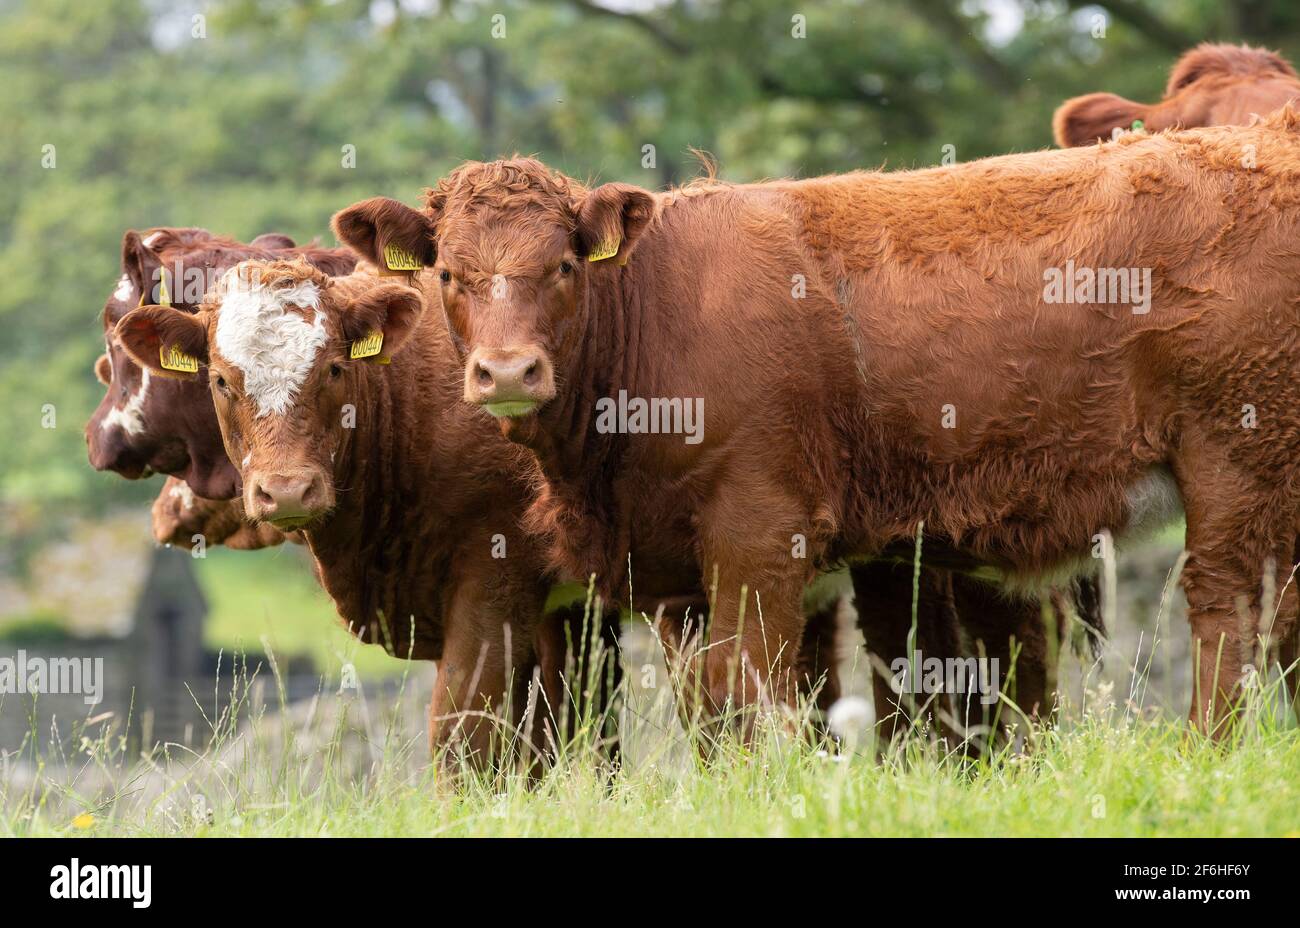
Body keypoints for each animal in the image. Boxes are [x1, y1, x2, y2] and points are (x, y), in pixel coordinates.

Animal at [340, 113, 1300, 737]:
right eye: (450, 274)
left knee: (1229, 609)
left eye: (565, 265)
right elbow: (732, 704)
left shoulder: (760, 531)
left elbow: (752, 686)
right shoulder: (688, 575)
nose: (506, 372)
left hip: (1234, 457)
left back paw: (1207, 749)